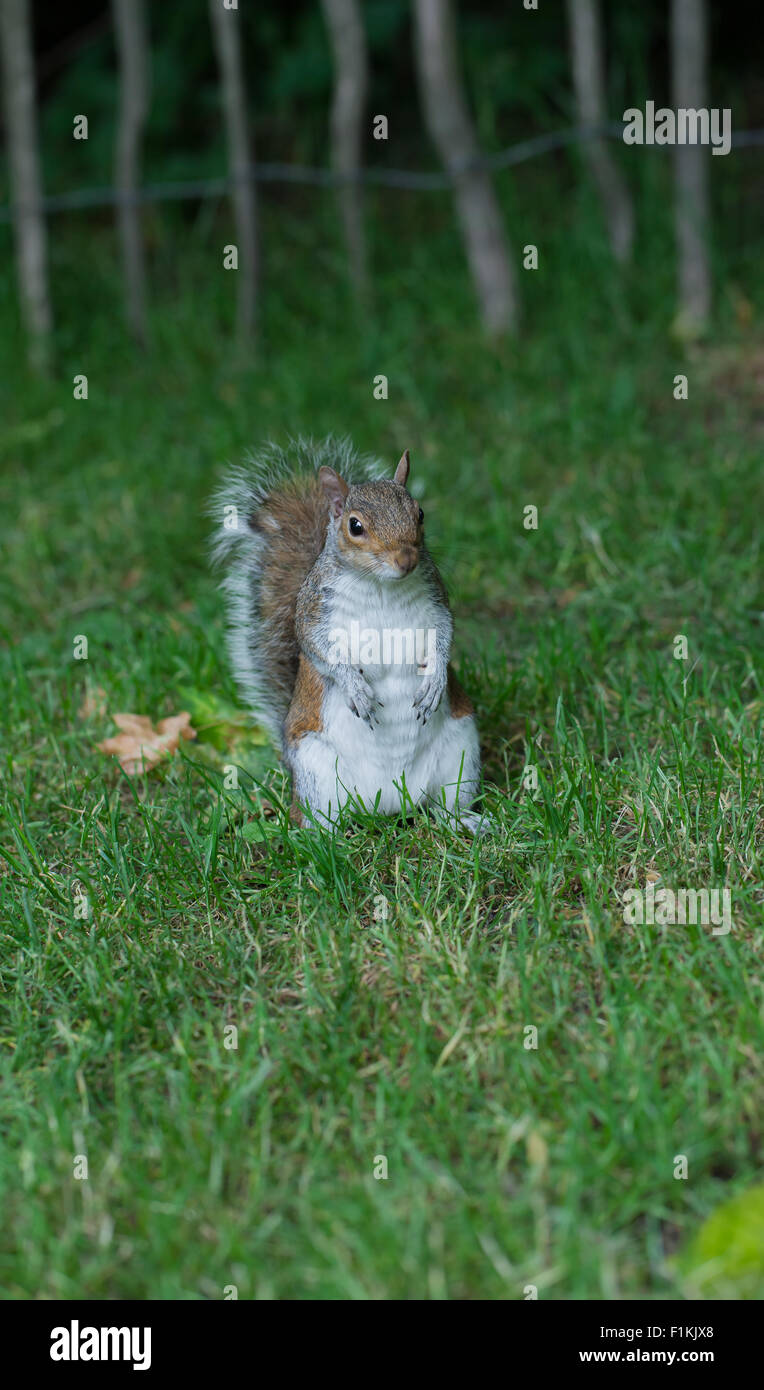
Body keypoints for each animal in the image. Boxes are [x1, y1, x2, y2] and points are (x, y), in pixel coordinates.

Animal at [211, 437, 488, 833]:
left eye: (419, 513)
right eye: (355, 526)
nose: (406, 560)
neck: (381, 586)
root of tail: (391, 804)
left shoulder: (437, 605)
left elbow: (444, 639)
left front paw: (435, 682)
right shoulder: (312, 613)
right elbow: (318, 649)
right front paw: (354, 687)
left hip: (459, 753)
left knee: (445, 808)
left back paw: (466, 821)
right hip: (315, 770)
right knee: (319, 818)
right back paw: (320, 837)